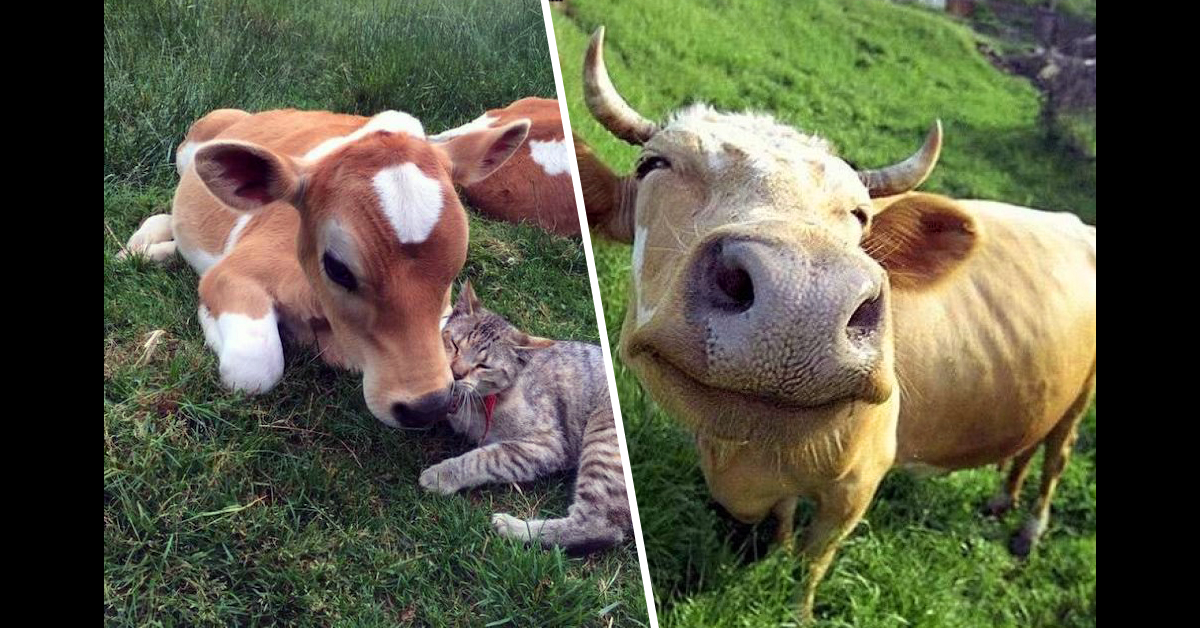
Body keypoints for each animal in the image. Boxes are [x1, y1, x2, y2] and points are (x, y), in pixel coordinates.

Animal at [575, 27, 1095, 622]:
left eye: (860, 214)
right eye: (654, 165)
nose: (800, 301)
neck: (744, 458)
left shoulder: (856, 486)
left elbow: (813, 561)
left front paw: (796, 608)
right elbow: (783, 519)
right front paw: (772, 550)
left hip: (1083, 396)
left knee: (1057, 456)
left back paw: (1028, 529)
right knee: (1031, 442)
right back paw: (1002, 496)